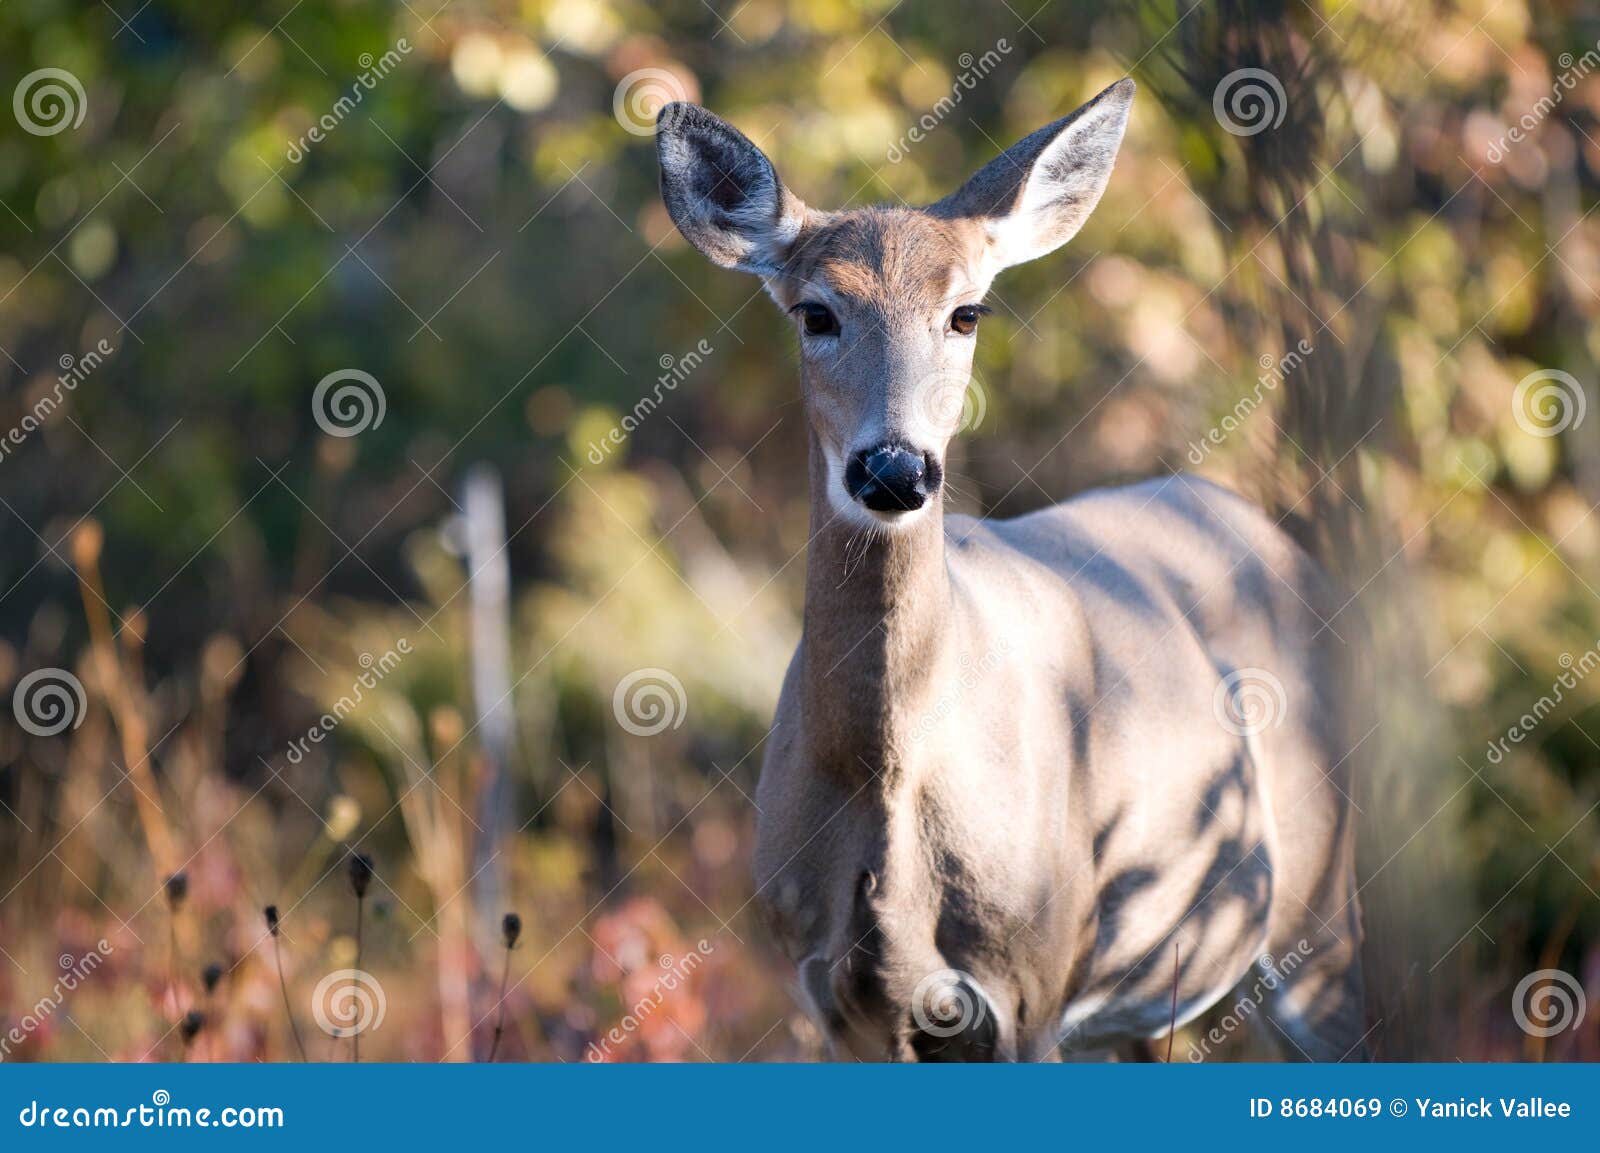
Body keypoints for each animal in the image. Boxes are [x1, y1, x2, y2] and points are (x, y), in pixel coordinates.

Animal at [655, 78, 1367, 1062]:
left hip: (1319, 901)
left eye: (966, 312)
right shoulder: (833, 997)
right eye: (816, 312)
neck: (888, 782)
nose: (894, 469)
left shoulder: (1033, 979)